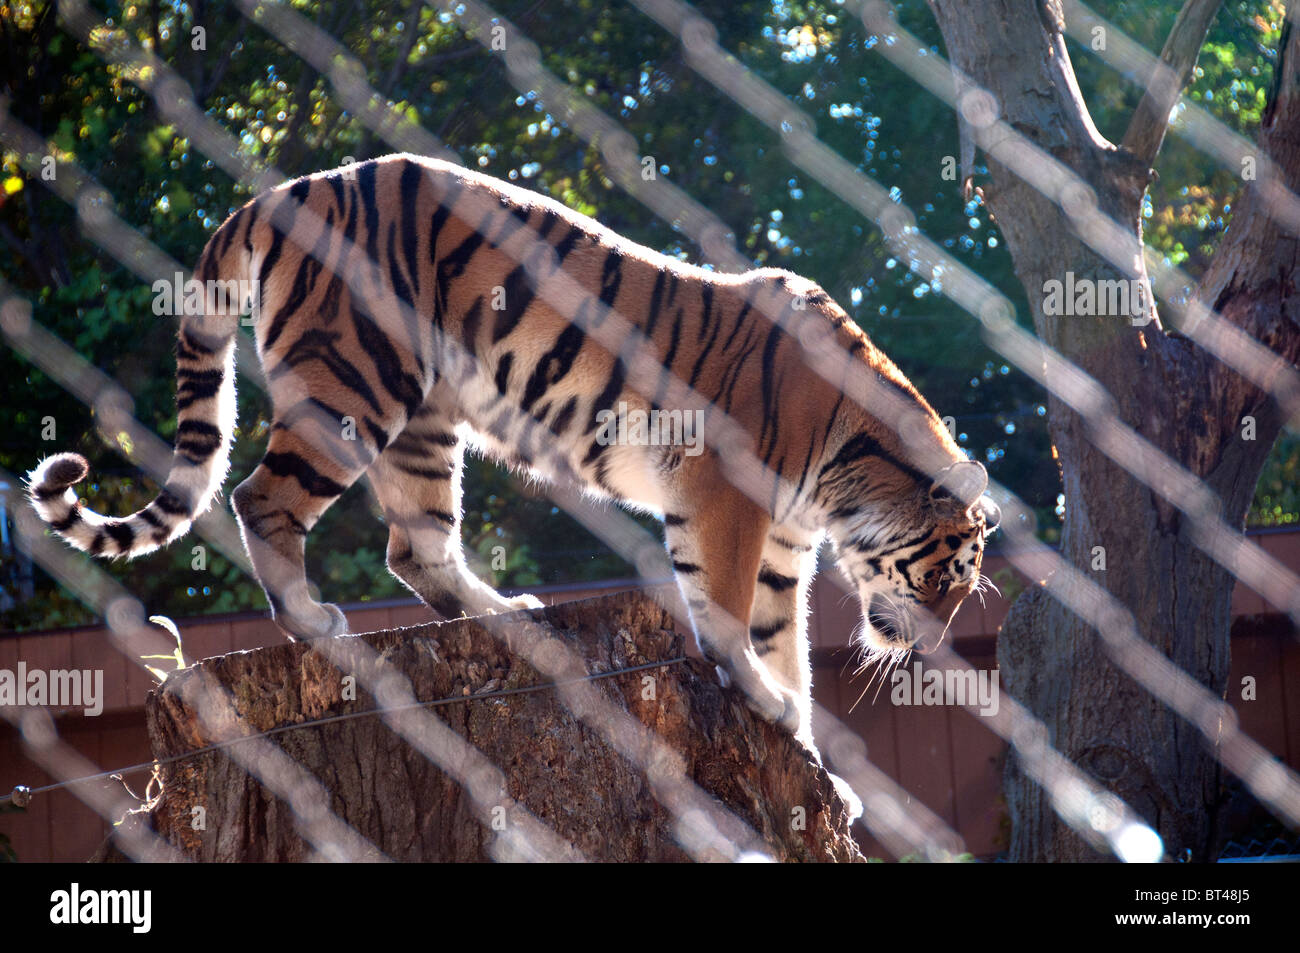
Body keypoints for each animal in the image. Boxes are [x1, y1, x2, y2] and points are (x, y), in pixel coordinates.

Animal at [28, 153, 999, 818]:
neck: (847, 474)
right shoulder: (726, 494)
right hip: (354, 383)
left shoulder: (781, 543)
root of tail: (281, 190)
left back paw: (509, 615)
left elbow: (781, 638)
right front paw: (763, 698)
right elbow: (727, 614)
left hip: (425, 422)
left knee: (414, 545)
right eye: (947, 577)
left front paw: (806, 745)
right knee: (261, 499)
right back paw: (315, 623)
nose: (927, 645)